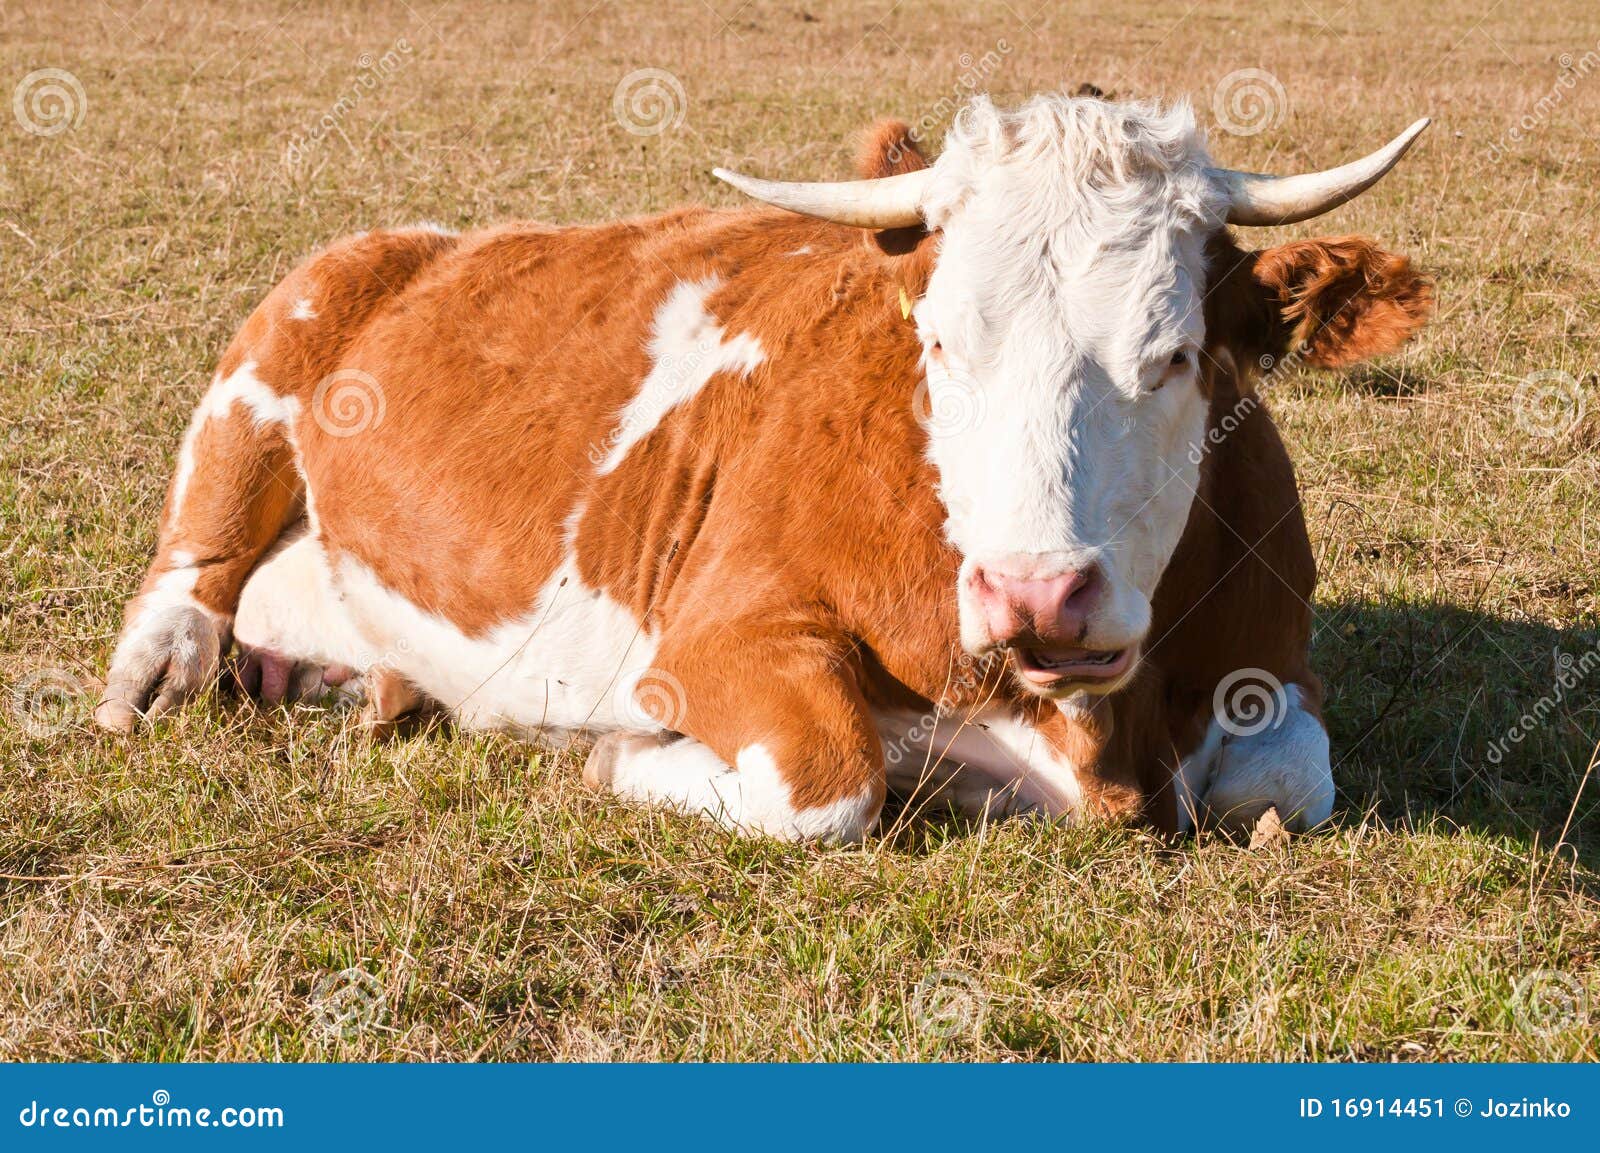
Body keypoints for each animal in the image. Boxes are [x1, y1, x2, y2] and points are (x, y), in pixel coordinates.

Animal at [93, 95, 1433, 842]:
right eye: (940, 342)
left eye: (1173, 355)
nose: (1038, 594)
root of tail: (427, 237)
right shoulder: (717, 633)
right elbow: (826, 782)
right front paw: (624, 757)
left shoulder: (1273, 664)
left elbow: (1280, 781)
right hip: (284, 333)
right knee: (192, 573)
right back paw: (159, 672)